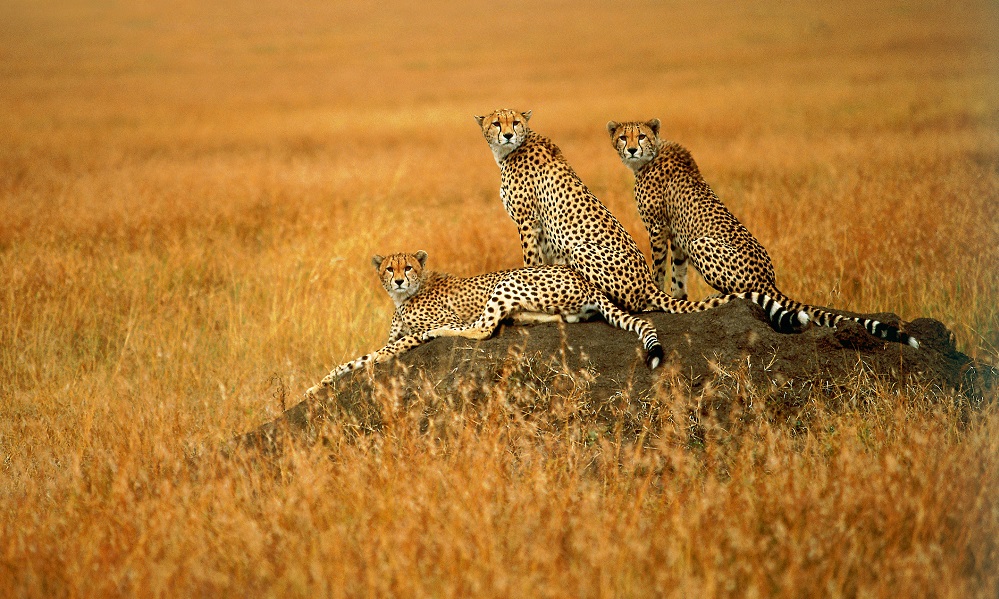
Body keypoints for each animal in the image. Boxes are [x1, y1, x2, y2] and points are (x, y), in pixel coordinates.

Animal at [314, 250, 667, 389]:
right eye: (390, 268)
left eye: (408, 267)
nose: (399, 281)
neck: (404, 298)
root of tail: (585, 279)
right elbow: (355, 360)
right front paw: (319, 385)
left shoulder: (412, 333)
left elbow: (373, 356)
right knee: (558, 319)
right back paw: (521, 319)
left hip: (508, 280)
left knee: (482, 329)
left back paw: (447, 331)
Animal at [474, 108, 807, 334]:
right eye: (496, 123)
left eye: (515, 122)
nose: (507, 134)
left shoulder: (528, 222)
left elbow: (530, 263)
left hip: (588, 248)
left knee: (629, 302)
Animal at [606, 118, 918, 348]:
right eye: (623, 137)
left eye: (641, 136)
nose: (632, 149)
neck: (651, 157)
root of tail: (769, 280)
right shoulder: (677, 237)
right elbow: (679, 276)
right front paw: (678, 299)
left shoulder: (658, 228)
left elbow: (659, 268)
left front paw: (657, 298)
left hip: (702, 243)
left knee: (743, 293)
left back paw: (714, 299)